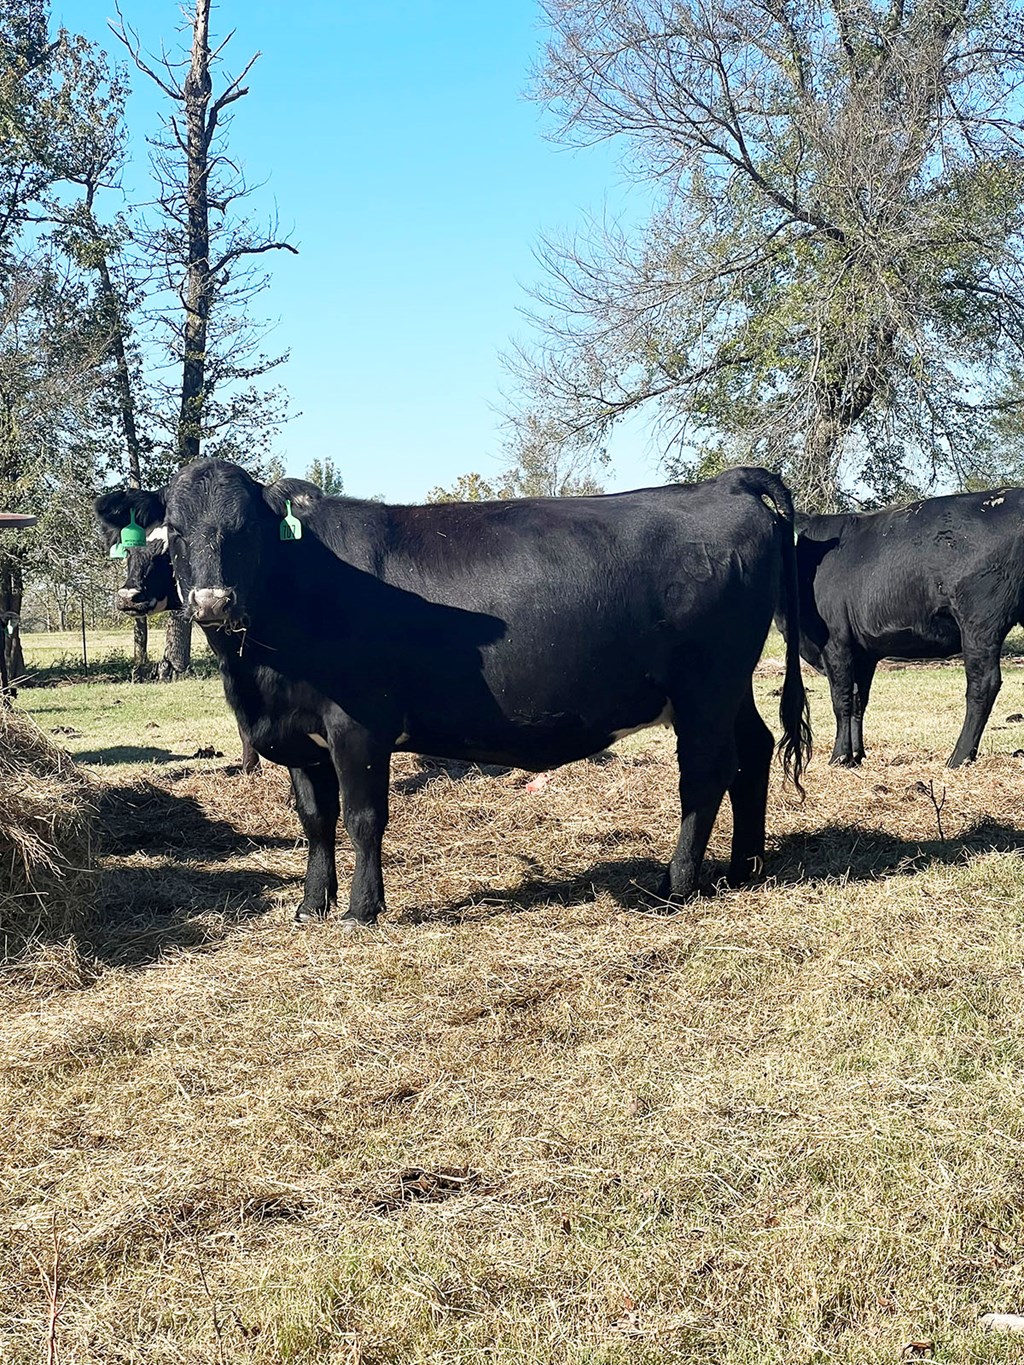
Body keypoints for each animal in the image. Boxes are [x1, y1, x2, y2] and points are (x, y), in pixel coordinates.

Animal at [95, 460, 811, 929]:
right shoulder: (301, 735)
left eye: (245, 530)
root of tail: (725, 483)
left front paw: (360, 911)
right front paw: (310, 907)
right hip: (728, 688)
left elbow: (362, 817)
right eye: (175, 530)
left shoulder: (358, 725)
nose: (213, 601)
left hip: (704, 687)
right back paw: (744, 868)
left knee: (706, 774)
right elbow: (314, 819)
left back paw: (675, 885)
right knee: (753, 752)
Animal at [790, 488, 1024, 767]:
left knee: (983, 683)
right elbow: (858, 700)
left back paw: (958, 757)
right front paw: (857, 755)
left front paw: (840, 757)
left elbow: (841, 698)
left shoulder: (835, 641)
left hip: (979, 622)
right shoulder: (863, 652)